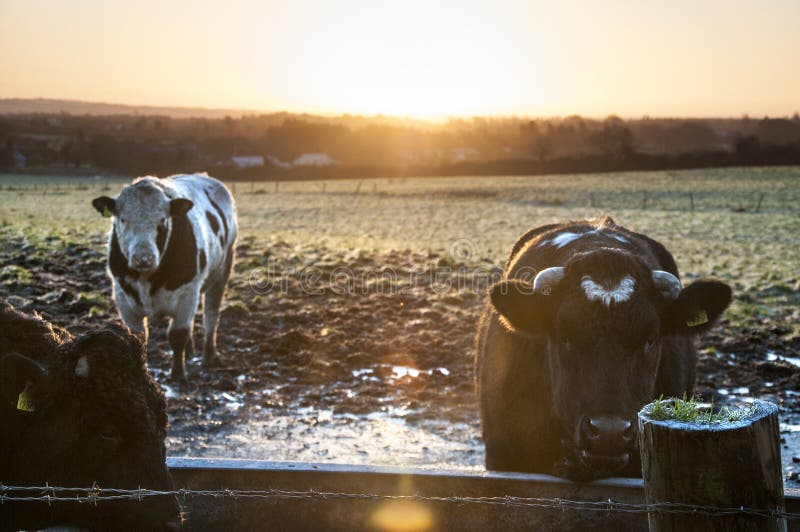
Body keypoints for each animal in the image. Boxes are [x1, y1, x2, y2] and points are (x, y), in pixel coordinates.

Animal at [91, 173, 238, 382]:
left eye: (162, 220)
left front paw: (178, 374)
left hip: (222, 271)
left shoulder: (187, 293)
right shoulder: (122, 297)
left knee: (211, 314)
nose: (143, 258)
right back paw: (191, 351)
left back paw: (209, 355)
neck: (147, 279)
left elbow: (177, 335)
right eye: (122, 219)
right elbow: (137, 339)